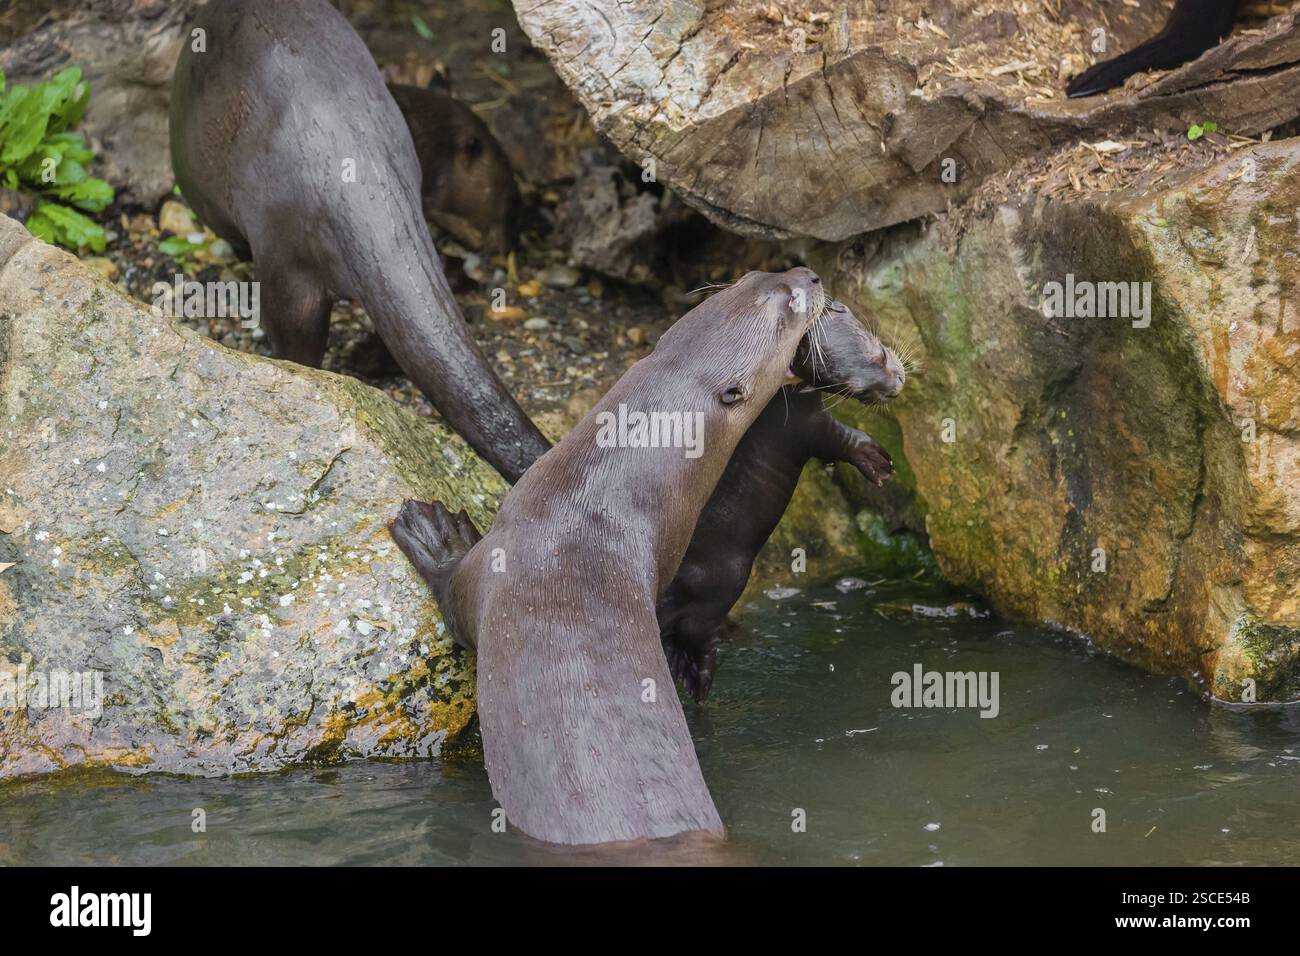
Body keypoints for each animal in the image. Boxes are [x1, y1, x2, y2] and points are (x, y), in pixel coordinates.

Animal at [390, 268, 831, 845]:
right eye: (761, 282)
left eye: (791, 299)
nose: (810, 275)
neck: (588, 504)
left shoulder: (494, 568)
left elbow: (452, 592)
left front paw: (437, 534)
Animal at [658, 302, 905, 702]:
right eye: (852, 386)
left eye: (878, 355)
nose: (896, 387)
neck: (779, 395)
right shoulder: (805, 425)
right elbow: (843, 441)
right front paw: (877, 463)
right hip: (724, 585)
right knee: (700, 632)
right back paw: (699, 677)